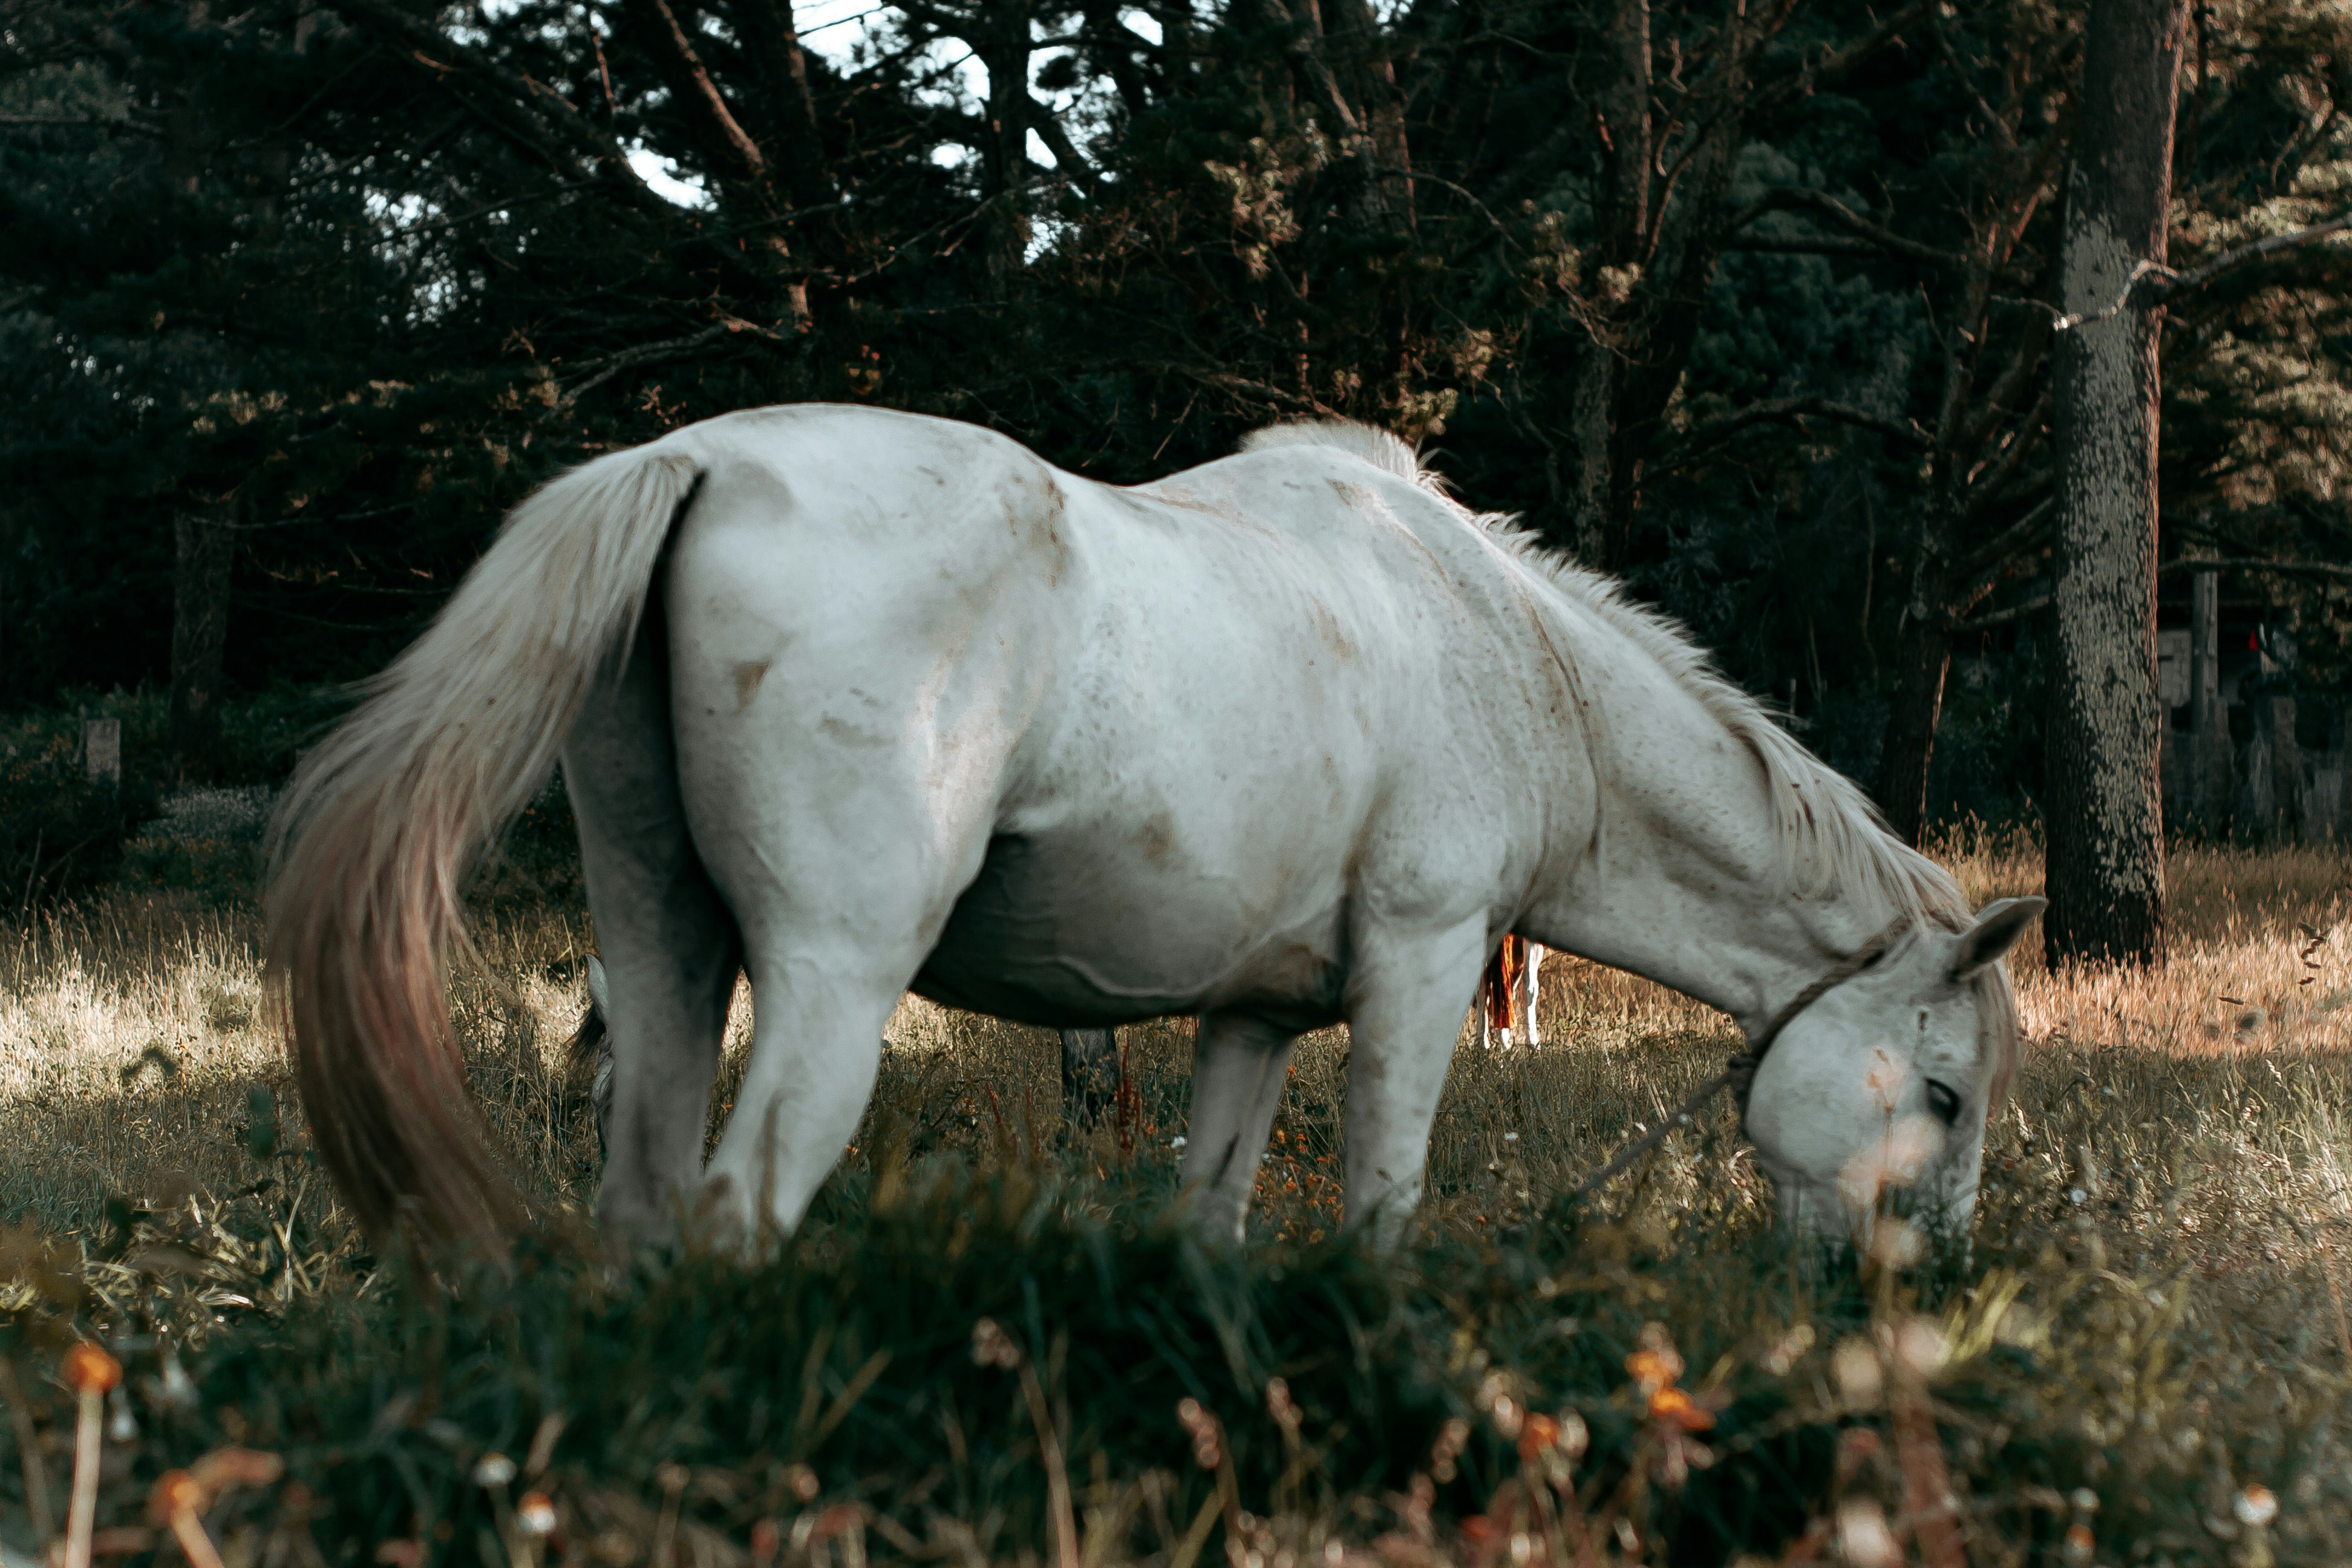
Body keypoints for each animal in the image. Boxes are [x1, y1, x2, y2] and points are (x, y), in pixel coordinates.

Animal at [268, 404, 2041, 1251]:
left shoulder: (1253, 1023)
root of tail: (689, 459)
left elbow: (1212, 1217)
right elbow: (1379, 1218)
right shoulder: (1418, 976)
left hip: (658, 960)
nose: (1928, 1288)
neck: (1502, 656)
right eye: (1943, 1093)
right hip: (831, 986)